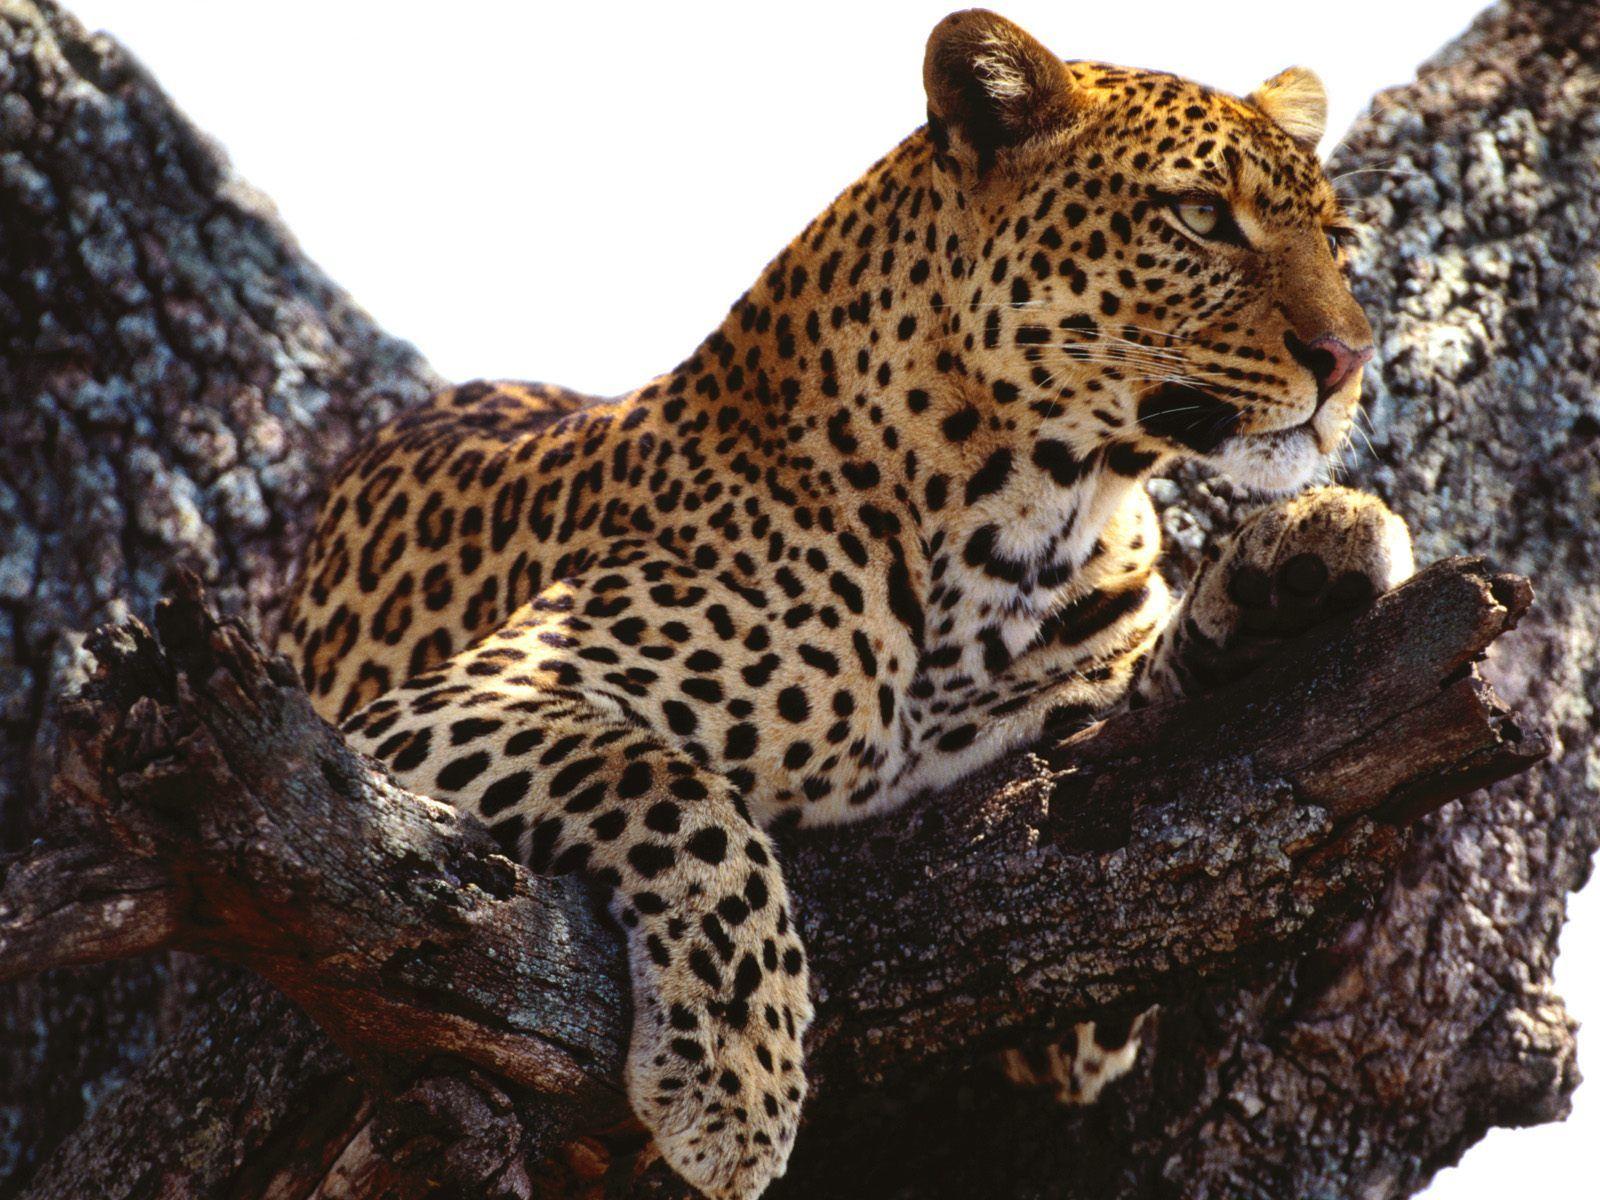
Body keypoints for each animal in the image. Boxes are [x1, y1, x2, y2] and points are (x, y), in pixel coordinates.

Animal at [280, 10, 1415, 1197]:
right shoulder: (430, 715)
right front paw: (737, 1076)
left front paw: (1293, 576)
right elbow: (677, 792)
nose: (1347, 358)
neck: (1025, 518)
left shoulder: (1069, 975)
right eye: (1200, 217)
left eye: (1337, 241)